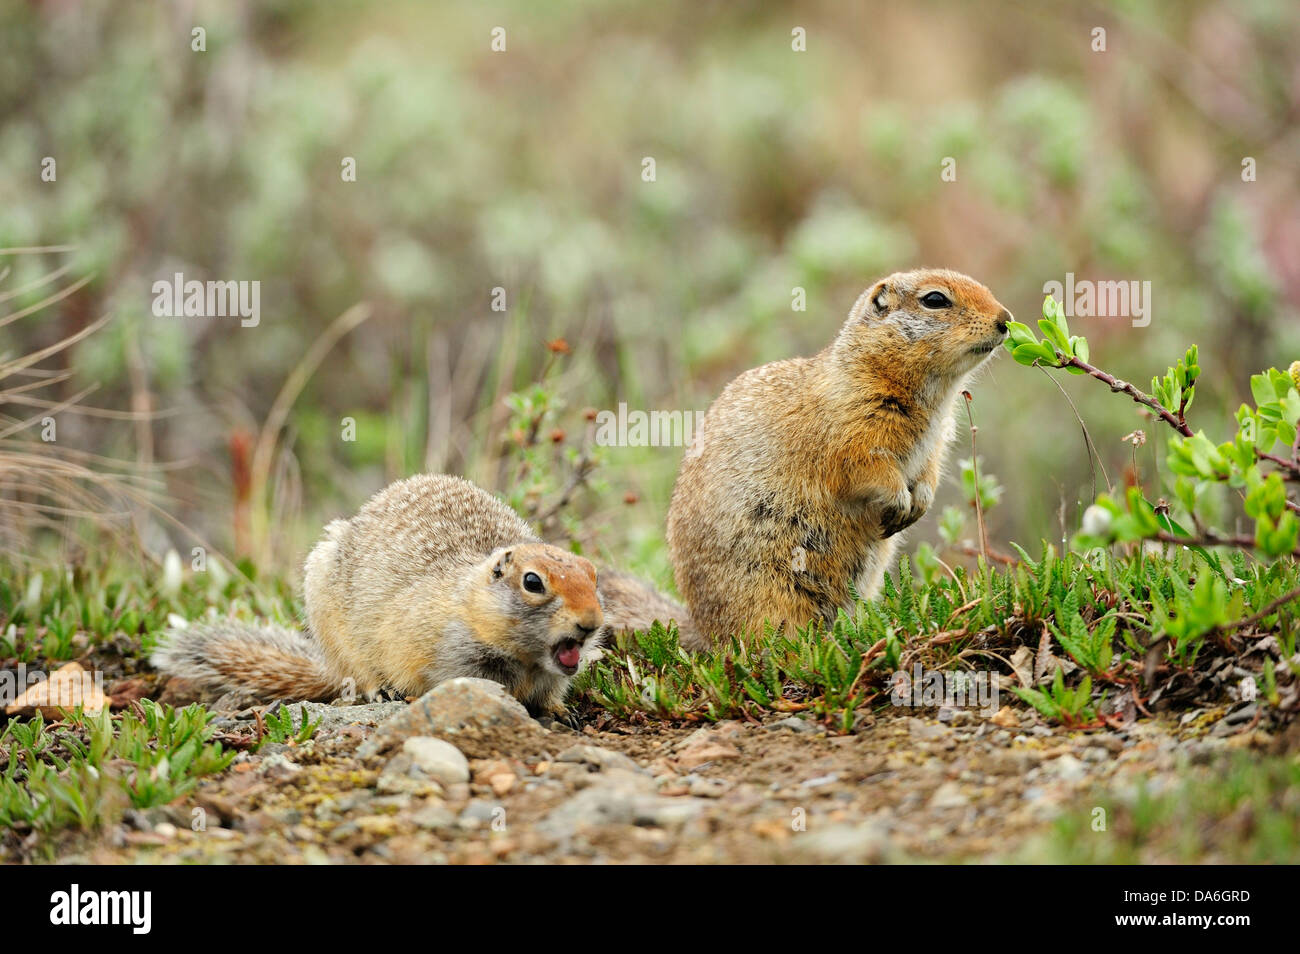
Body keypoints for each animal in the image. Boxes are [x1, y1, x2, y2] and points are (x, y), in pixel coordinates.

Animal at [152, 473, 691, 718]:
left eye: (593, 575)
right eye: (533, 582)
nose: (590, 623)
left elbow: (554, 693)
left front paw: (562, 711)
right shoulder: (450, 654)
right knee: (356, 678)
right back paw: (379, 690)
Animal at [666, 268, 1011, 648]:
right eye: (935, 299)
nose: (1005, 319)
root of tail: (701, 631)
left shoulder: (935, 445)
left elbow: (929, 472)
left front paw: (919, 502)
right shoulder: (853, 430)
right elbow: (863, 467)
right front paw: (899, 500)